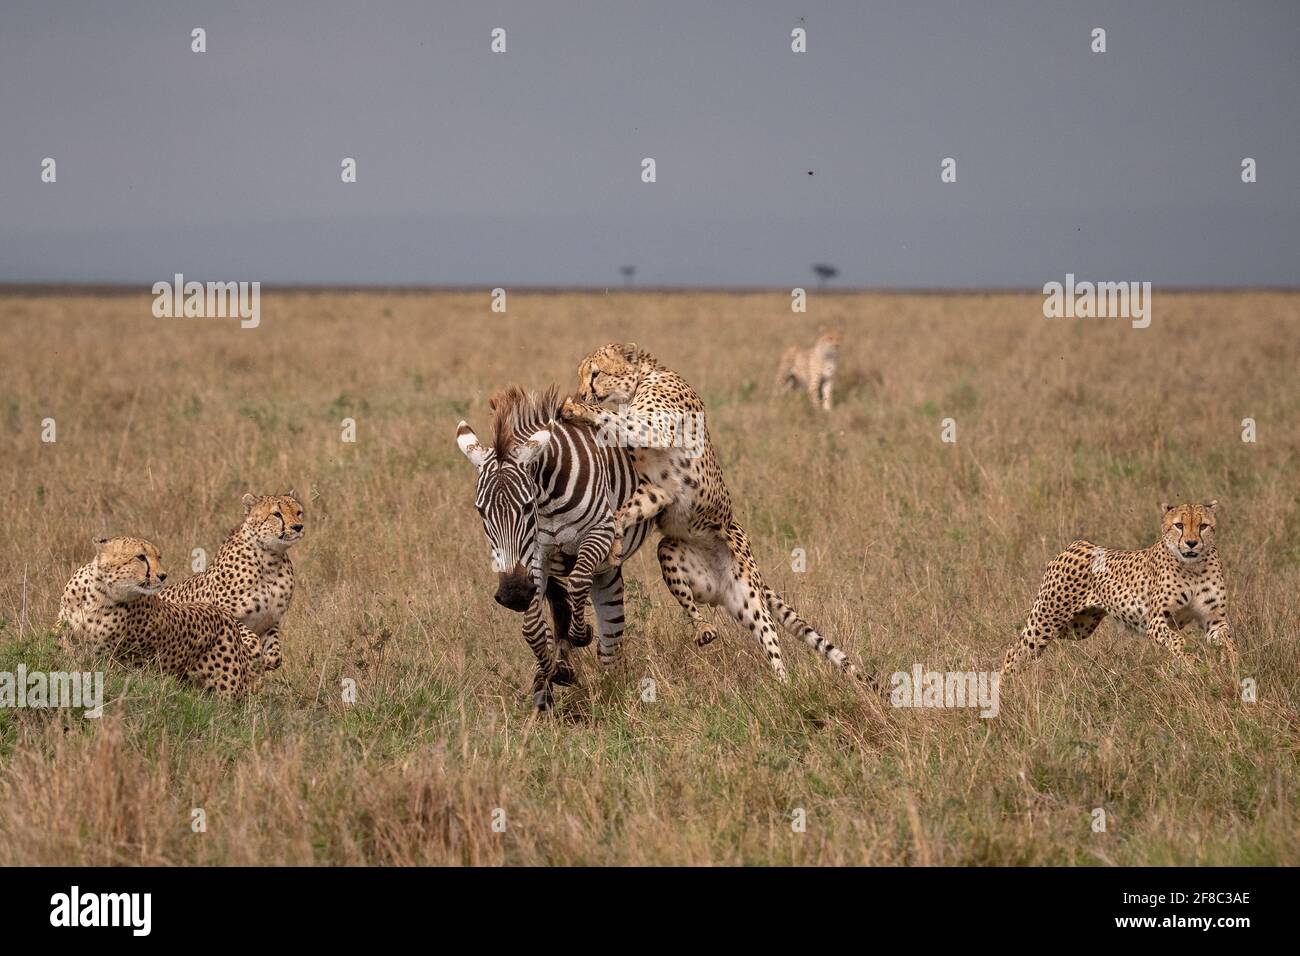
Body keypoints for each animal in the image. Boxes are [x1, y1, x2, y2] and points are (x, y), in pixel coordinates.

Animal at [57, 536, 262, 699]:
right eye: (141, 557)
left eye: (158, 557)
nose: (163, 576)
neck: (99, 592)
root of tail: (227, 616)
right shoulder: (67, 632)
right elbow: (66, 652)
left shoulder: (106, 657)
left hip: (227, 690)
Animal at [161, 493, 304, 671]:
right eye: (276, 514)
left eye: (298, 512)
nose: (298, 527)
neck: (270, 561)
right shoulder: (225, 614)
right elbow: (250, 638)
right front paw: (251, 656)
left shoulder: (269, 621)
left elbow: (275, 655)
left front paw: (264, 663)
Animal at [455, 385, 650, 709]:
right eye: (481, 512)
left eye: (526, 507)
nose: (513, 594)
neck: (548, 499)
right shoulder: (537, 554)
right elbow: (533, 626)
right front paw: (554, 672)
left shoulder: (600, 533)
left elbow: (578, 584)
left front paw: (581, 634)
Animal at [561, 342, 870, 686]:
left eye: (595, 373)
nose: (582, 392)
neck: (642, 379)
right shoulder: (658, 489)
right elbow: (625, 511)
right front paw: (614, 542)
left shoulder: (654, 428)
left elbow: (614, 417)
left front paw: (575, 407)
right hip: (675, 555)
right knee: (694, 604)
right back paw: (704, 630)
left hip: (750, 595)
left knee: (772, 643)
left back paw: (785, 686)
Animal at [1001, 501, 1236, 676]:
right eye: (1179, 525)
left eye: (1203, 526)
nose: (1191, 543)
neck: (1193, 567)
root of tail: (1077, 544)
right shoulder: (1155, 620)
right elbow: (1177, 640)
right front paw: (1192, 662)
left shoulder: (1214, 619)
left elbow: (1228, 641)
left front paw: (1233, 668)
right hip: (1048, 620)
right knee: (1015, 652)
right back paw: (1006, 691)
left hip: (1078, 627)